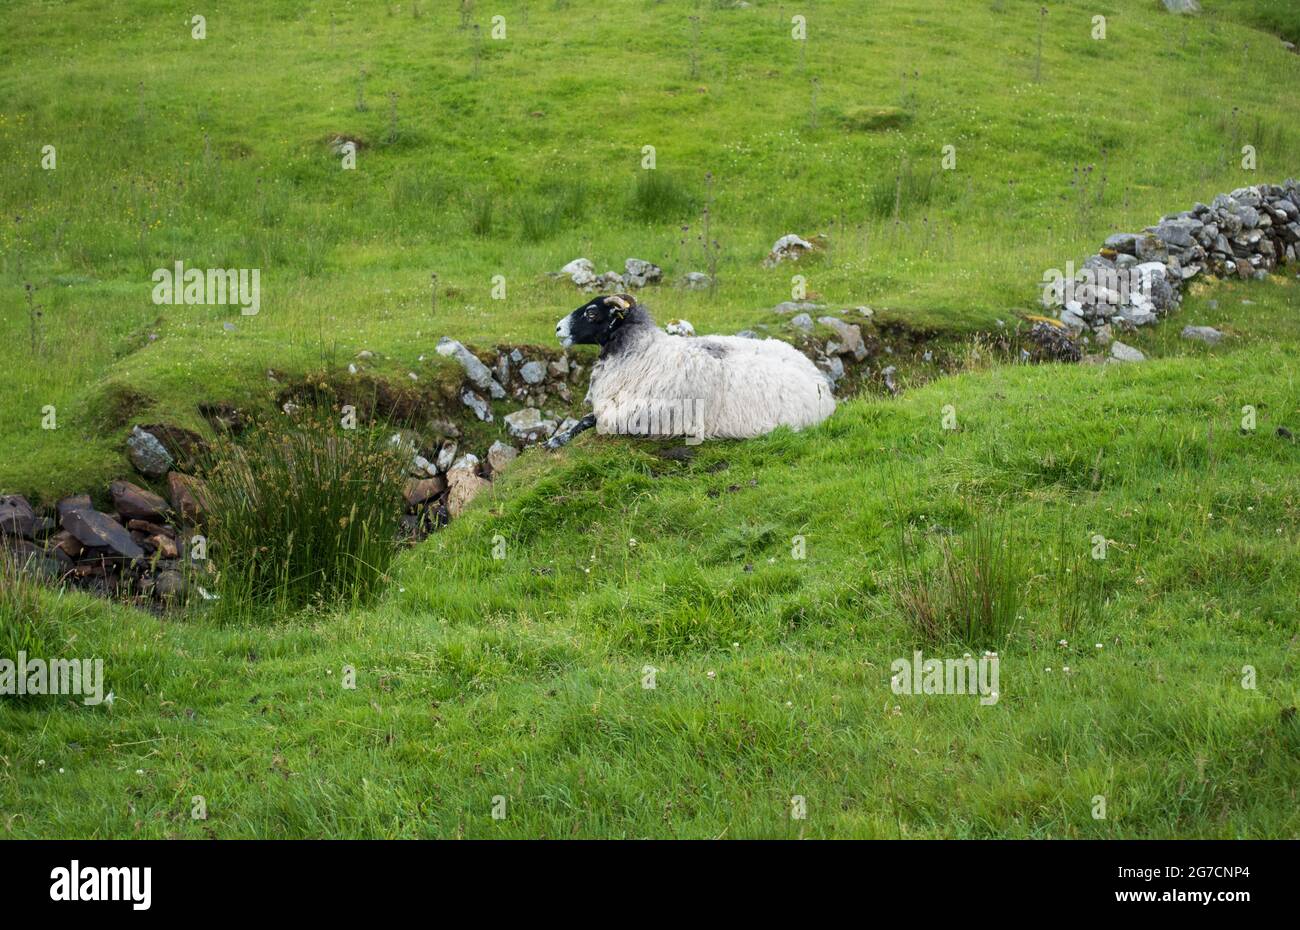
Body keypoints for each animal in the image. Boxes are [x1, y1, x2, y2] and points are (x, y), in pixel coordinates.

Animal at [546, 294, 835, 448]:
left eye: (592, 312)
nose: (558, 328)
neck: (640, 352)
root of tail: (822, 385)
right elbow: (586, 418)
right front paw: (555, 439)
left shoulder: (642, 412)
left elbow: (592, 420)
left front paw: (555, 441)